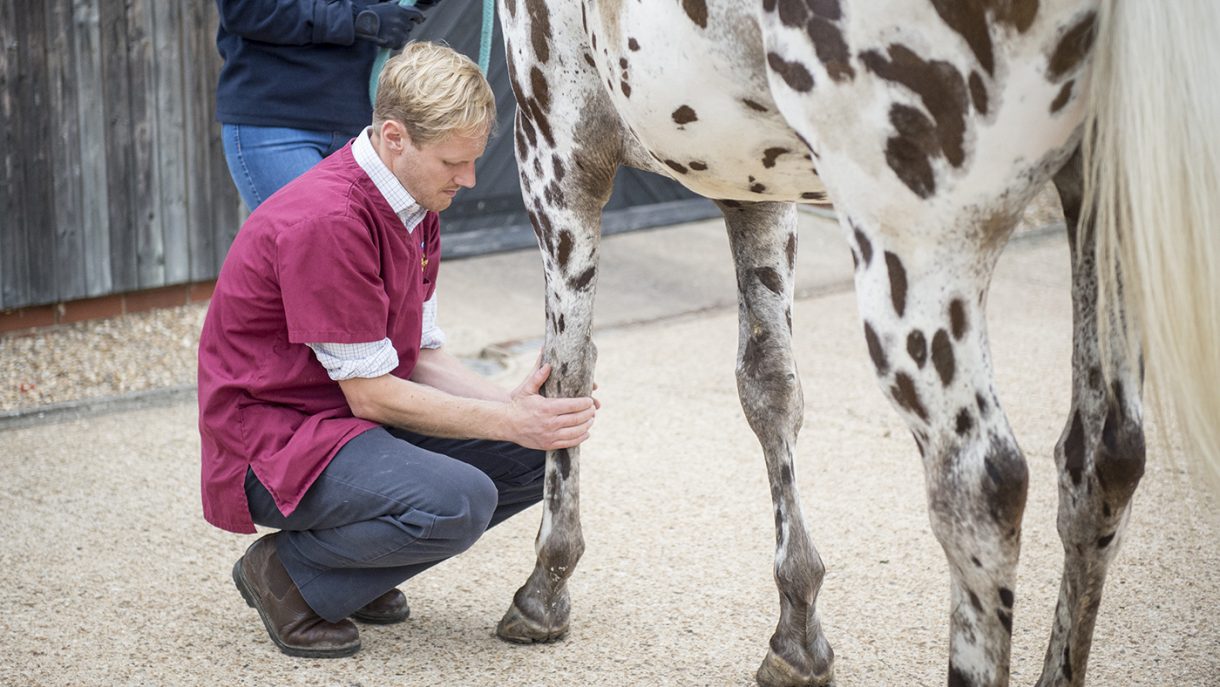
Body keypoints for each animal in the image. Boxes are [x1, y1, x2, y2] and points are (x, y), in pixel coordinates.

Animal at [489, 1, 1219, 685]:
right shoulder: (750, 183)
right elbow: (769, 386)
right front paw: (799, 632)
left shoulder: (557, 148)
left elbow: (567, 373)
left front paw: (545, 585)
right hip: (1105, 206)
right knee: (1104, 459)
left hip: (917, 245)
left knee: (981, 484)